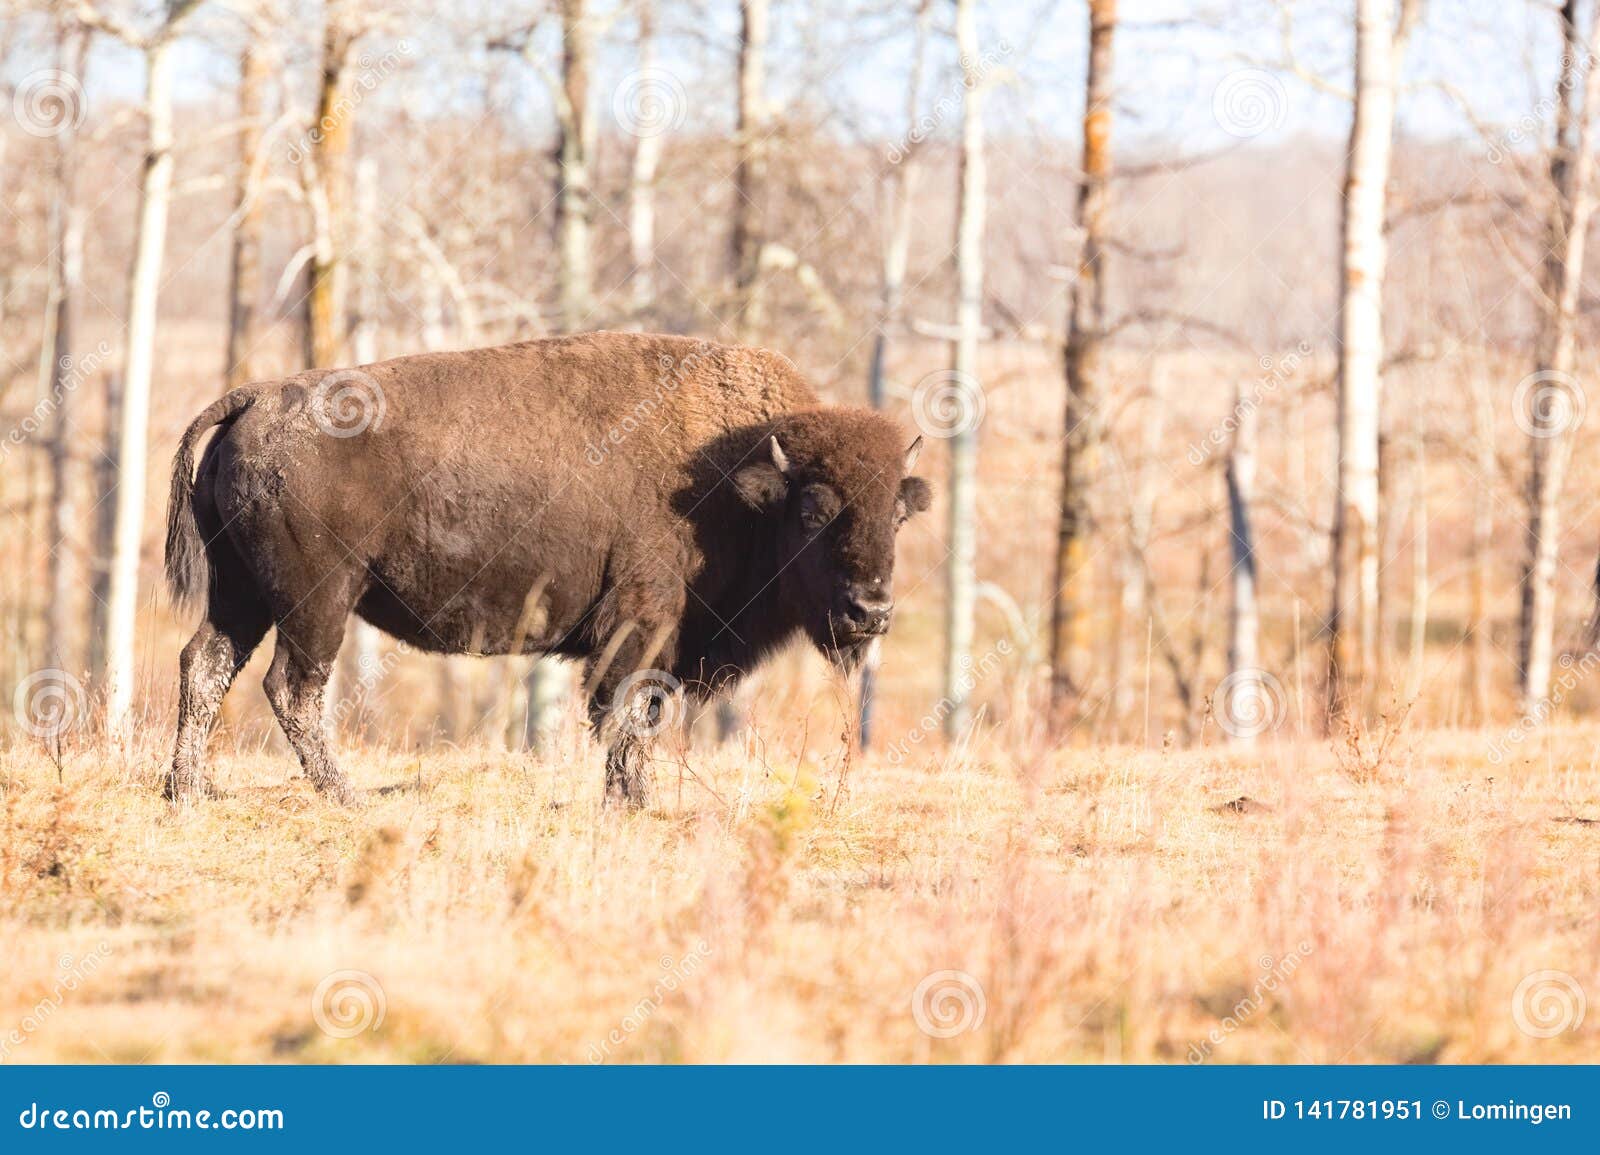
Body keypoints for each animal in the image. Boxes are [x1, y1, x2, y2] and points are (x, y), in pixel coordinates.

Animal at [164, 332, 931, 806]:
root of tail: (256, 397)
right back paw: (345, 796)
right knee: (293, 688)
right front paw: (631, 803)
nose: (871, 611)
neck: (737, 477)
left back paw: (186, 791)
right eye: (814, 513)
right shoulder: (642, 625)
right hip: (318, 601)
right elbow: (629, 712)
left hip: (242, 594)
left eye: (896, 515)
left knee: (205, 664)